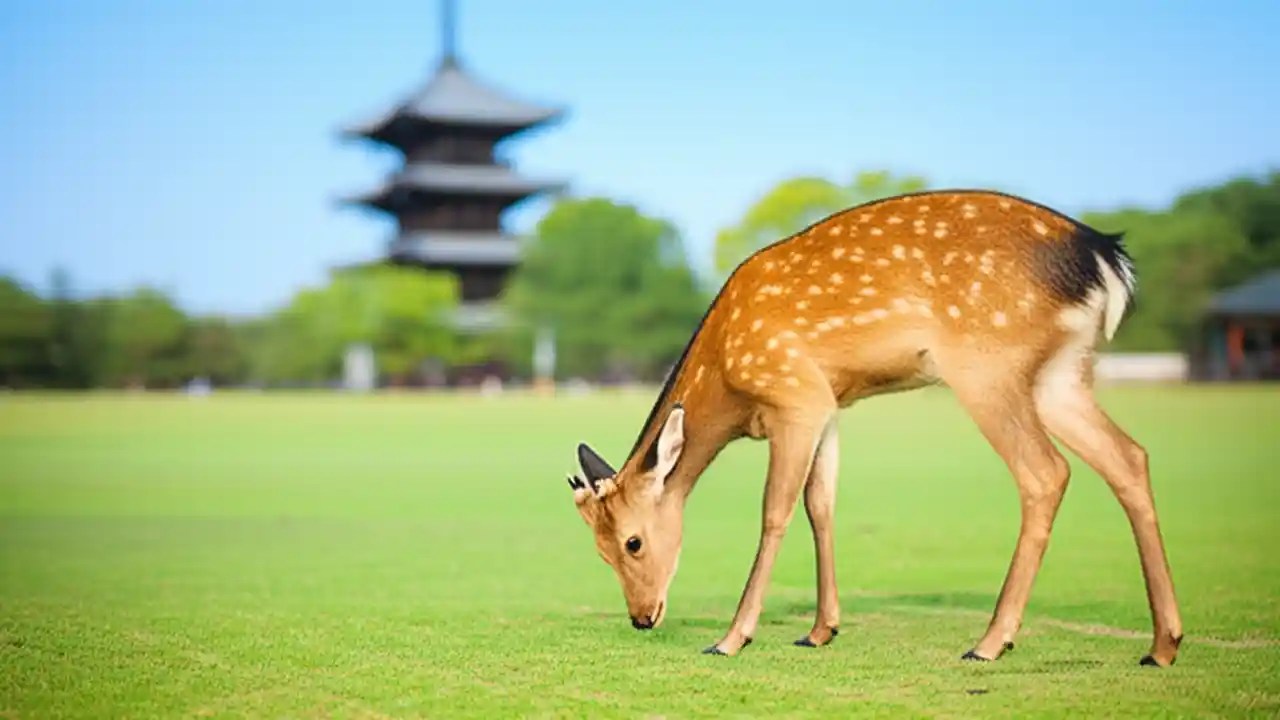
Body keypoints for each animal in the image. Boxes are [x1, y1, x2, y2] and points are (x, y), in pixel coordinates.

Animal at [565, 189, 1183, 667]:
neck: (730, 383)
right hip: (1062, 375)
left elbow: (775, 510)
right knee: (1130, 456)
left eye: (633, 541)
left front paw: (732, 639)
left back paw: (989, 642)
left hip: (987, 364)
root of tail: (1106, 257)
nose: (642, 618)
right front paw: (820, 631)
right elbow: (821, 505)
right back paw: (1162, 644)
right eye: (597, 551)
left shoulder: (795, 393)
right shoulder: (830, 404)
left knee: (1046, 471)